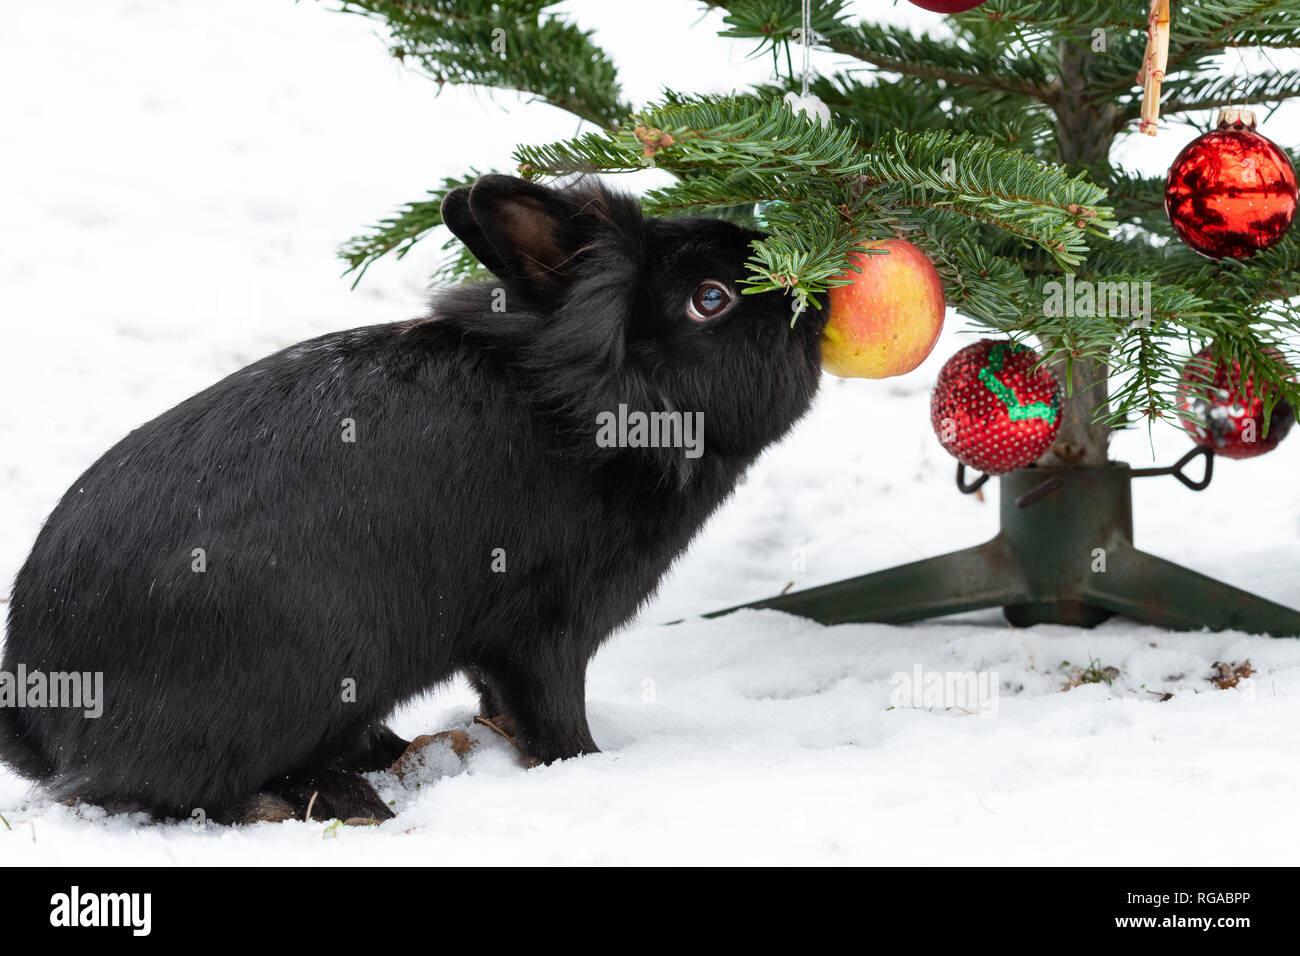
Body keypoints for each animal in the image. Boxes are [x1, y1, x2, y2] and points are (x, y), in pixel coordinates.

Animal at [0, 174, 826, 822]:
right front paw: (589, 764)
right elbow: (550, 709)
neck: (610, 402)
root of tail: (43, 717)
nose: (816, 298)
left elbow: (497, 700)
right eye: (711, 299)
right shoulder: (545, 631)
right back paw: (336, 799)